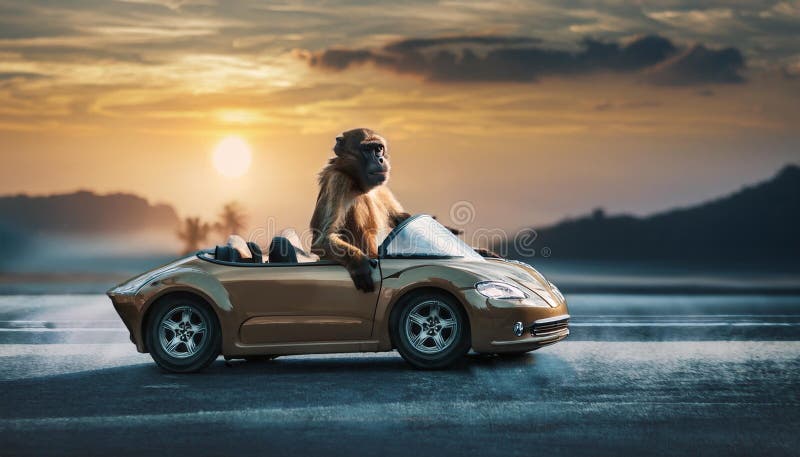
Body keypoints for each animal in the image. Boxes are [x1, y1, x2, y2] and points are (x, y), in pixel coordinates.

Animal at [310, 128, 408, 292]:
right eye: (367, 149)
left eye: (378, 148)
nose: (380, 159)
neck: (357, 183)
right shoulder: (338, 180)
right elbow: (322, 240)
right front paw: (357, 262)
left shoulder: (381, 186)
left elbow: (400, 219)